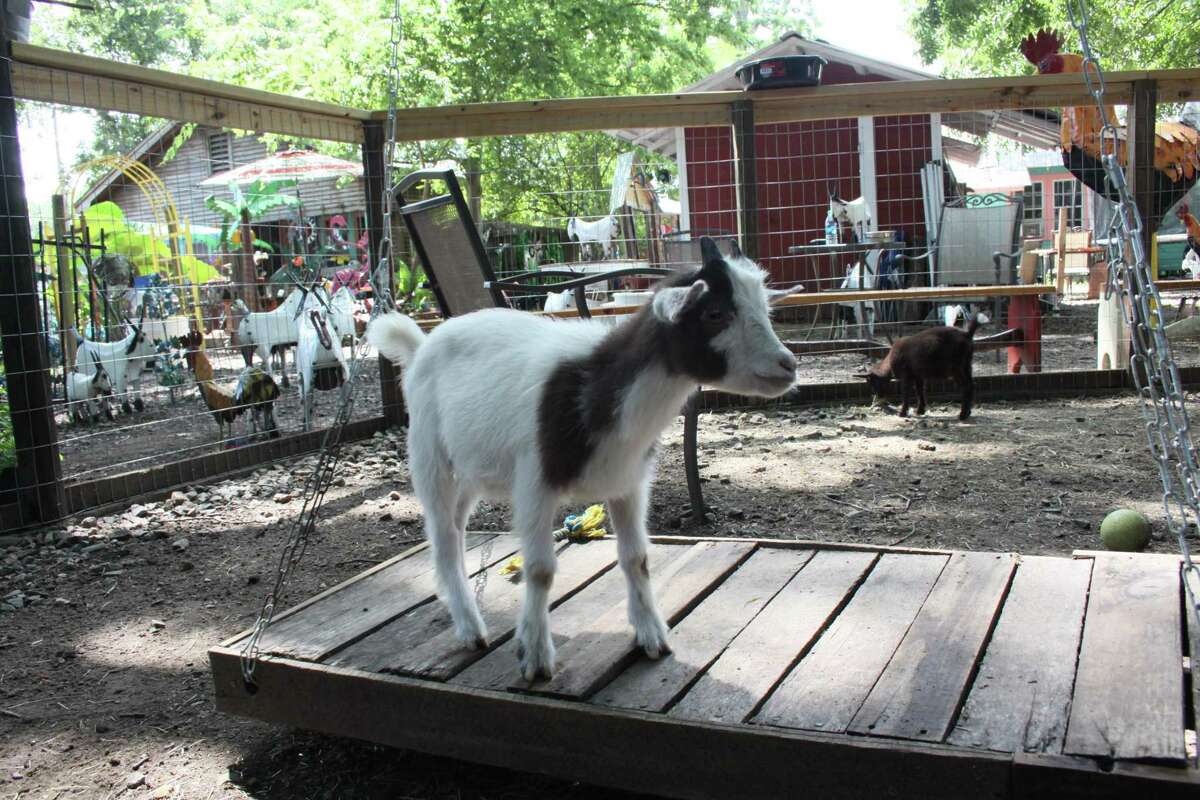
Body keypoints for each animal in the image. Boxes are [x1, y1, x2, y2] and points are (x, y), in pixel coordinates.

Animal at [368, 237, 800, 681]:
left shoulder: (628, 481)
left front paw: (651, 636)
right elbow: (540, 570)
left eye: (764, 307)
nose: (788, 365)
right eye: (715, 313)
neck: (597, 389)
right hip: (429, 454)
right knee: (441, 535)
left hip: (470, 468)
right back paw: (470, 627)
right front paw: (536, 656)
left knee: (454, 530)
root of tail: (422, 345)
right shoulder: (534, 482)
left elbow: (636, 558)